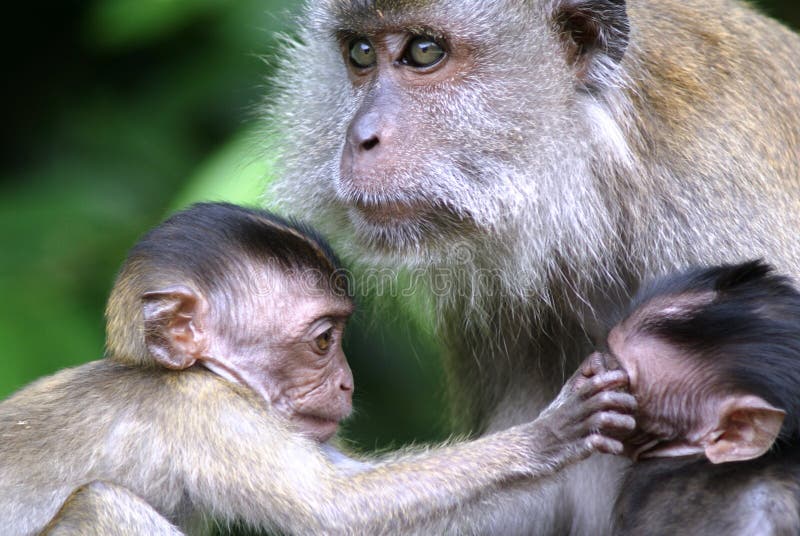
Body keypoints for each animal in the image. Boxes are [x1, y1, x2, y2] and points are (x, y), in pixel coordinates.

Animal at [0, 202, 638, 535]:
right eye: (324, 340)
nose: (347, 382)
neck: (173, 371)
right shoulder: (207, 413)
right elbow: (336, 510)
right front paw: (548, 434)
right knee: (99, 503)